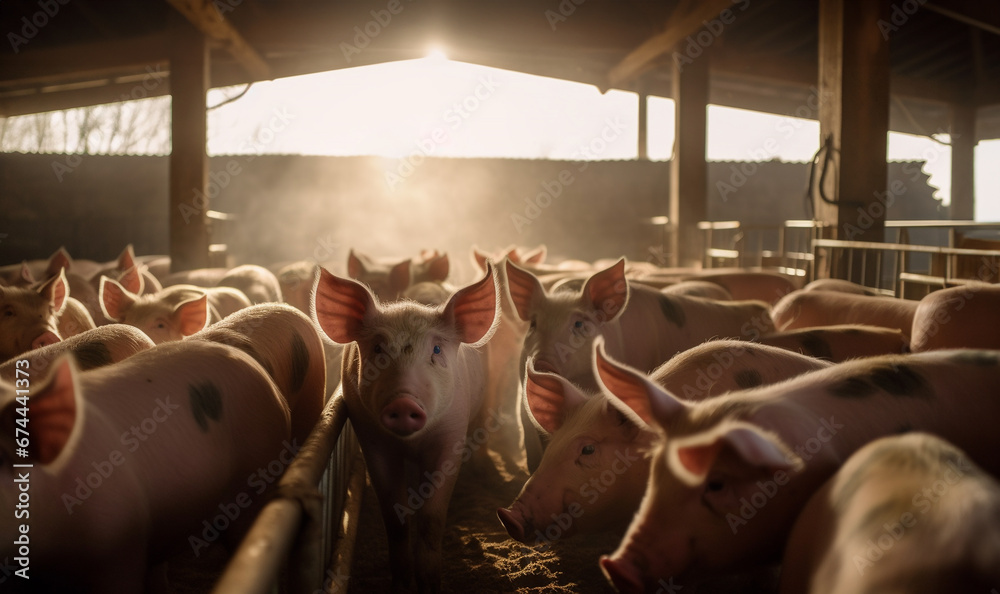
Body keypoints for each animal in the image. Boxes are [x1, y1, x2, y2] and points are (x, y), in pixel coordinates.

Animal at [313, 263, 499, 592]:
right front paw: (401, 584)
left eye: (436, 349)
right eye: (377, 348)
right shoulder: (370, 437)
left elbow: (431, 518)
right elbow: (394, 516)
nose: (403, 402)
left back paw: (486, 474)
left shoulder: (452, 434)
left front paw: (431, 585)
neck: (411, 444)